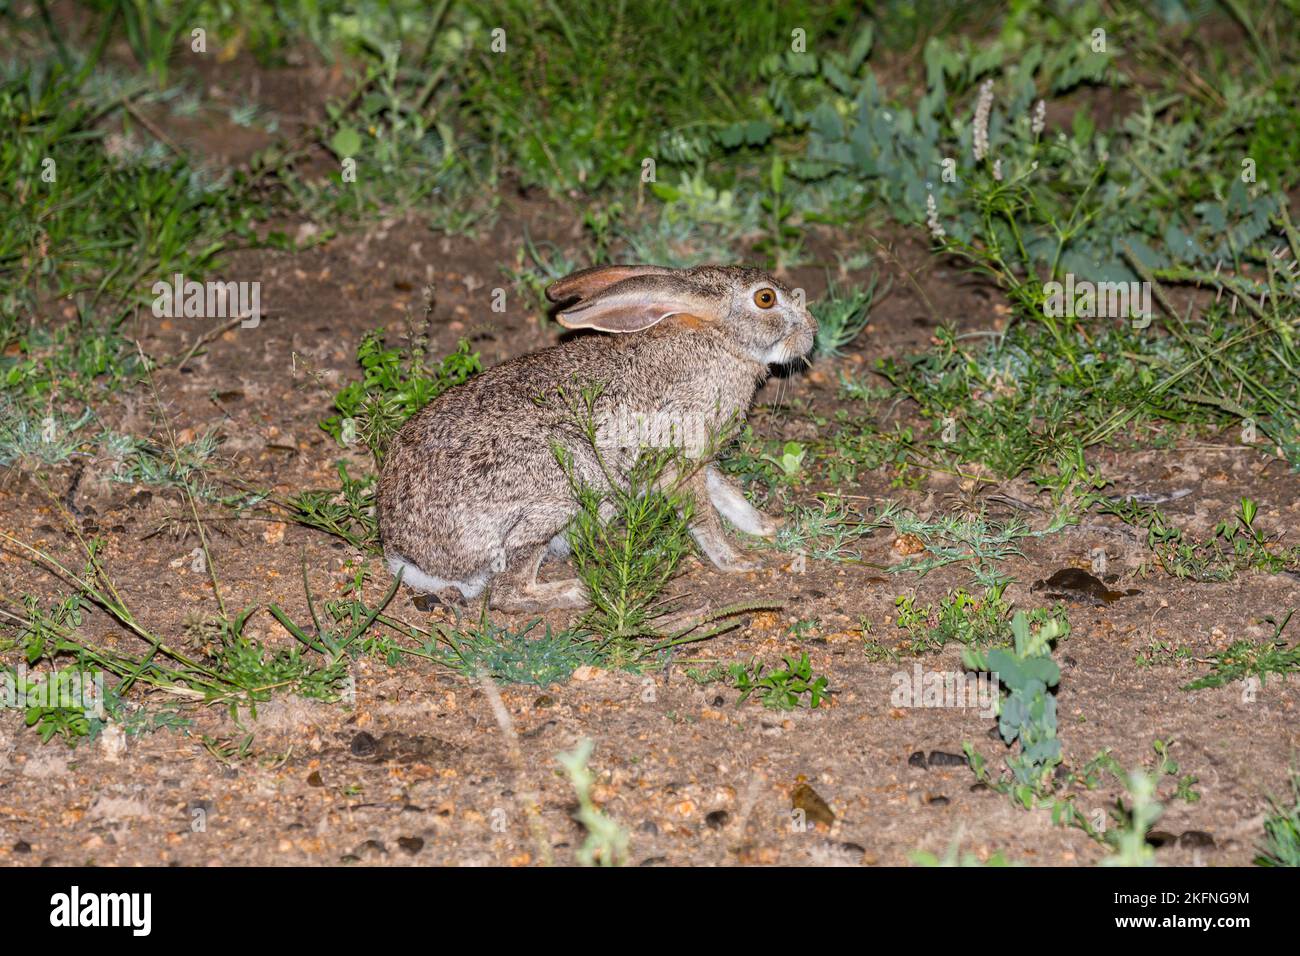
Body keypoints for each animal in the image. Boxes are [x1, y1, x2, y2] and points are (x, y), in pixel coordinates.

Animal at [377, 263, 817, 612]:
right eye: (765, 298)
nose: (812, 332)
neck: (720, 342)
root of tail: (407, 554)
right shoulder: (678, 461)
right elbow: (704, 516)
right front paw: (739, 561)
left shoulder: (699, 459)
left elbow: (727, 494)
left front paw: (769, 525)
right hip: (555, 495)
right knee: (506, 594)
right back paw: (577, 591)